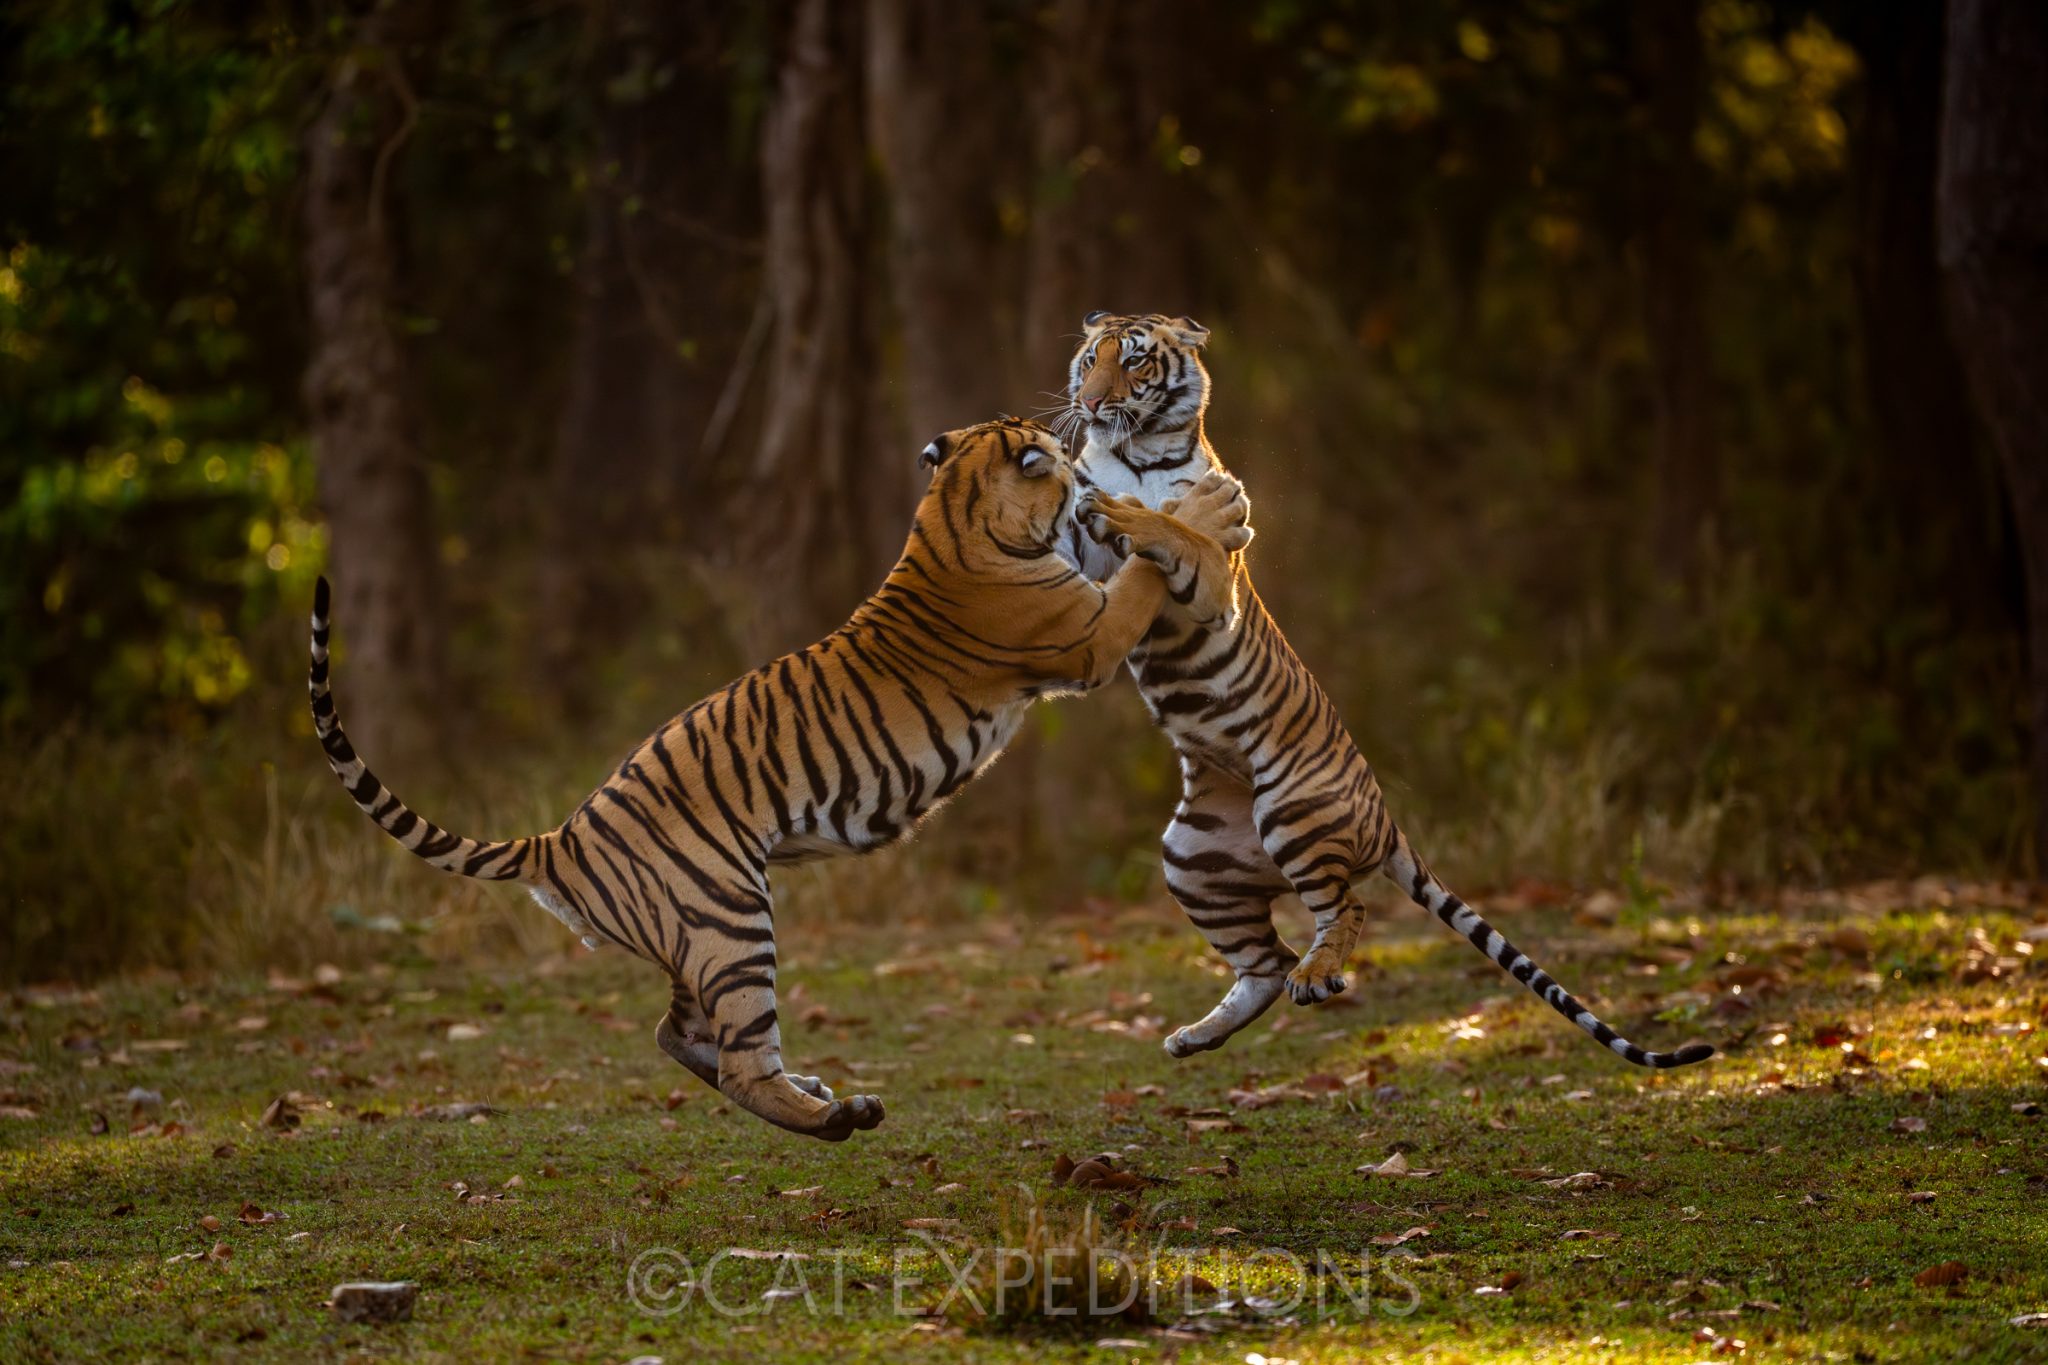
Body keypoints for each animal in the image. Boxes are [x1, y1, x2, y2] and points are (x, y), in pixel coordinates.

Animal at [309, 417, 1254, 1140]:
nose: (1073, 442)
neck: (950, 514)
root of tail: (558, 838)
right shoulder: (1087, 634)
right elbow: (1140, 573)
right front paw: (1202, 508)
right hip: (730, 922)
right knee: (738, 1062)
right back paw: (835, 1118)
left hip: (699, 941)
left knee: (682, 1036)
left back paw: (824, 1094)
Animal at [1058, 312, 1712, 1070]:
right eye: (1092, 360)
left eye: (1134, 364)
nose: (1092, 405)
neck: (1135, 453)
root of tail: (1384, 816)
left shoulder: (1214, 590)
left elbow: (1173, 524)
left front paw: (1128, 510)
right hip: (1194, 857)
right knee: (1266, 962)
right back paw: (1198, 1034)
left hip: (1291, 811)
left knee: (1344, 911)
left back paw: (1316, 977)